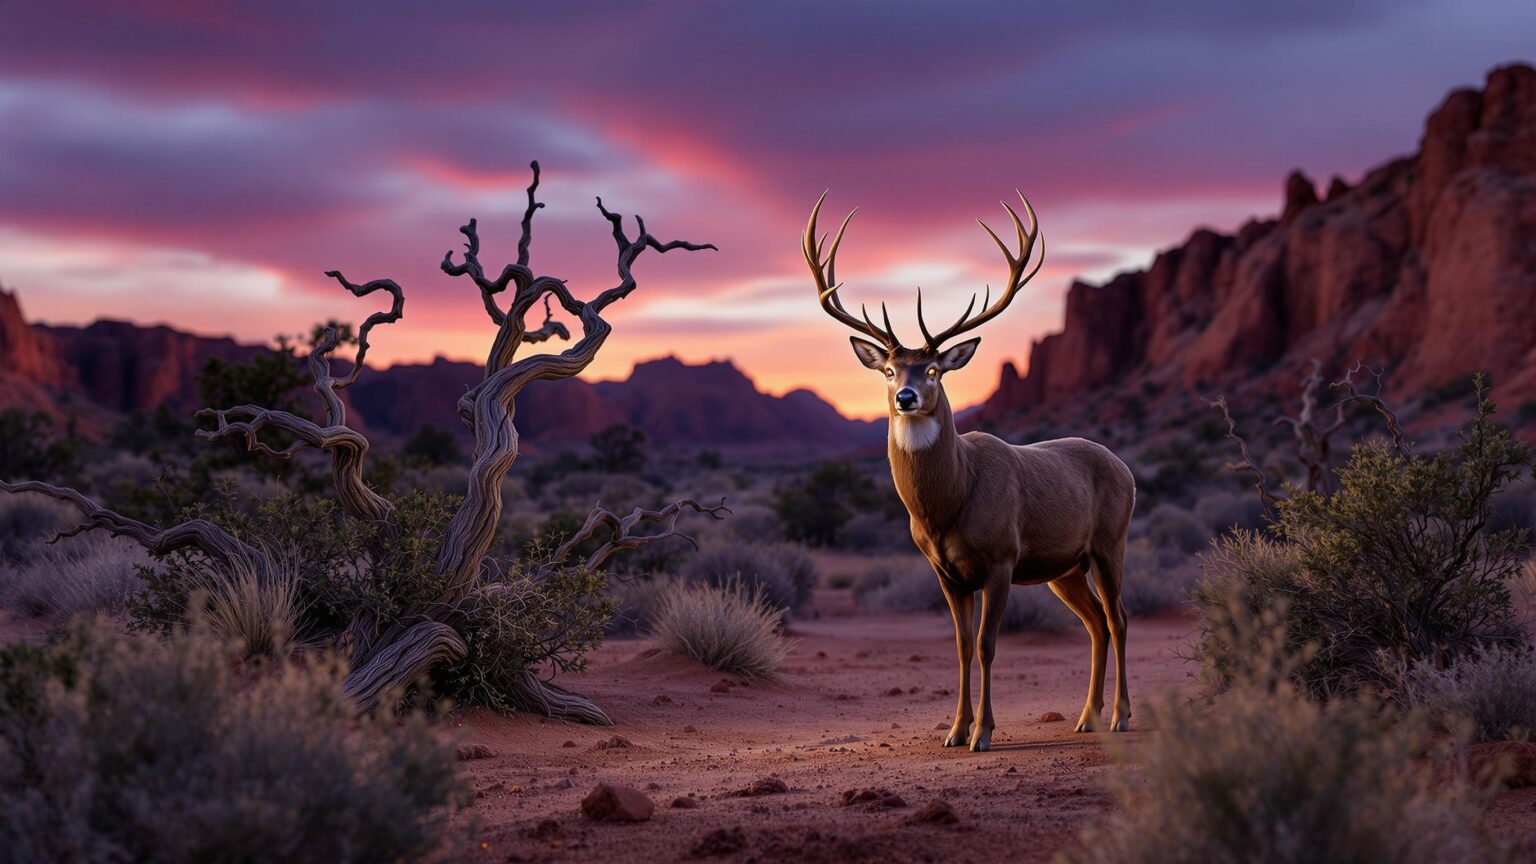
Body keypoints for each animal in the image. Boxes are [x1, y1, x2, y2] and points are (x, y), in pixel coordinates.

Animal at [804, 191, 1136, 751]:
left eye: (934, 370)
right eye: (889, 369)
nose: (905, 396)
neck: (950, 503)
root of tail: (1125, 467)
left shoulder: (1000, 558)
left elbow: (986, 644)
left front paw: (983, 732)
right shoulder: (945, 572)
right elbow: (959, 645)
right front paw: (956, 731)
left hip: (1109, 543)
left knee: (1119, 618)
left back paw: (1119, 716)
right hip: (1065, 567)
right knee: (1094, 622)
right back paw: (1085, 716)